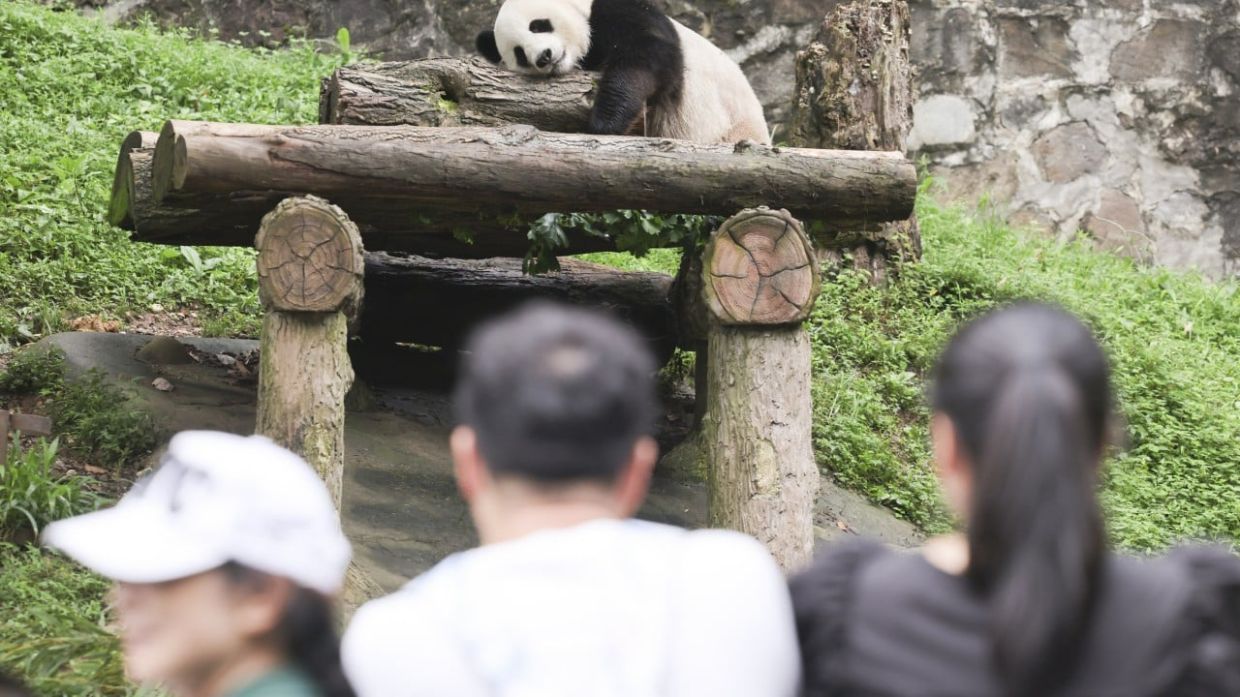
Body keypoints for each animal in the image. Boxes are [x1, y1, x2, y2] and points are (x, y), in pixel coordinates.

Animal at [475, 0, 770, 145]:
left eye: (538, 25)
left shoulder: (617, 14)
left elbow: (645, 57)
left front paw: (605, 121)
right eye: (519, 53)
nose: (544, 57)